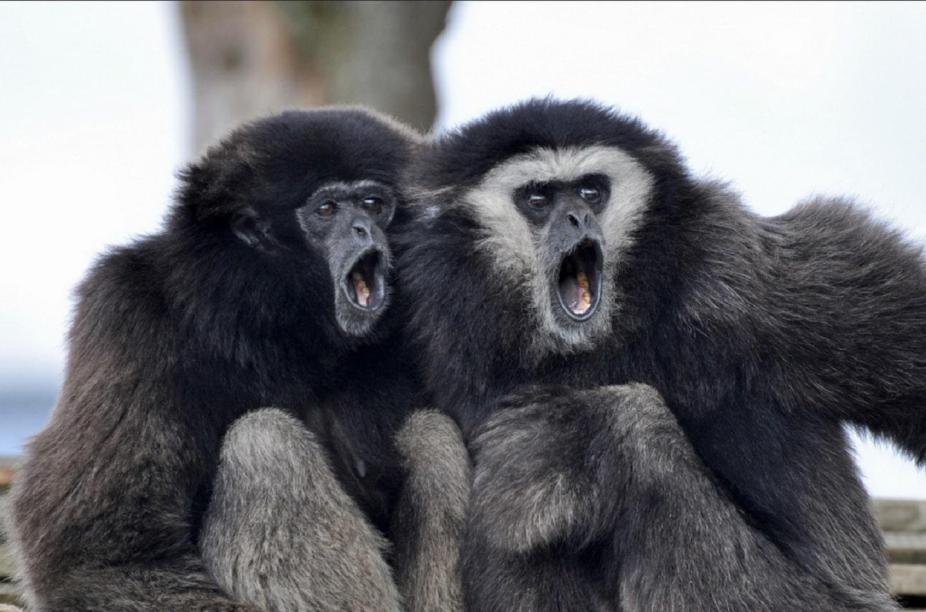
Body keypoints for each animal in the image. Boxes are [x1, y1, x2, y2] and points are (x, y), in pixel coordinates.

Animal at [6, 108, 467, 611]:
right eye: (327, 210)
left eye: (372, 203)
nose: (365, 229)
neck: (287, 331)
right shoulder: (125, 311)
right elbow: (102, 559)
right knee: (264, 441)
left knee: (433, 435)